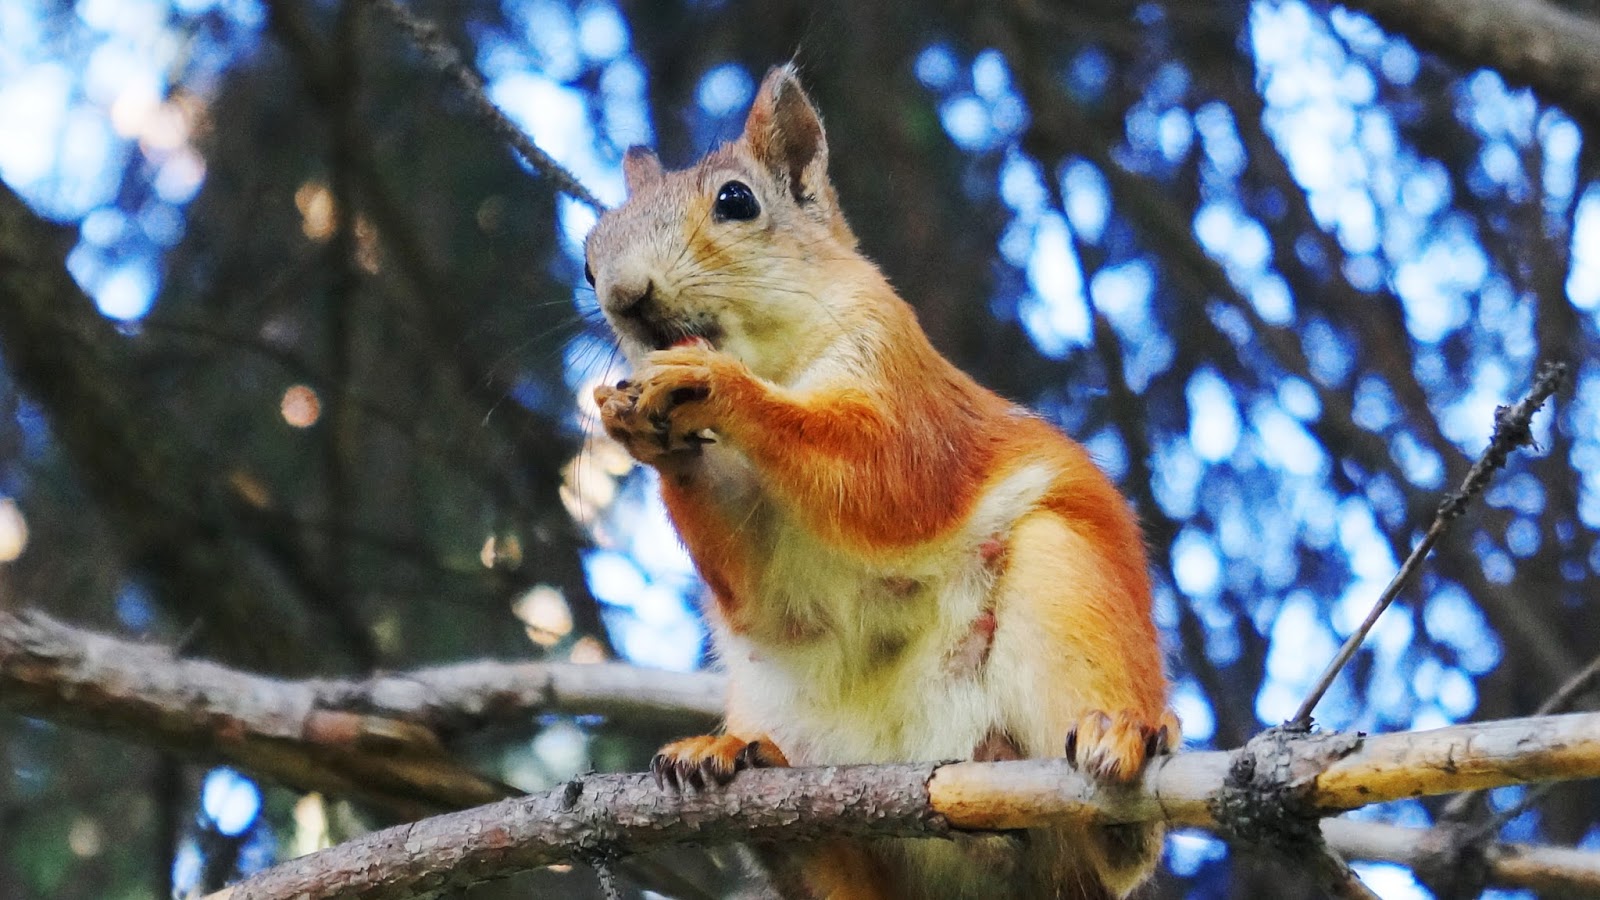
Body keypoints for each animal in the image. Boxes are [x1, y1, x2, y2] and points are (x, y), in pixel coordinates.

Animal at [585, 64, 1178, 900]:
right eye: (588, 255)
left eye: (737, 201)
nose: (624, 298)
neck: (776, 356)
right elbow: (756, 587)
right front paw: (642, 431)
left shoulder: (904, 386)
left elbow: (886, 479)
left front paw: (717, 383)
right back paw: (738, 765)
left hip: (1067, 590)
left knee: (1112, 840)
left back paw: (1117, 748)